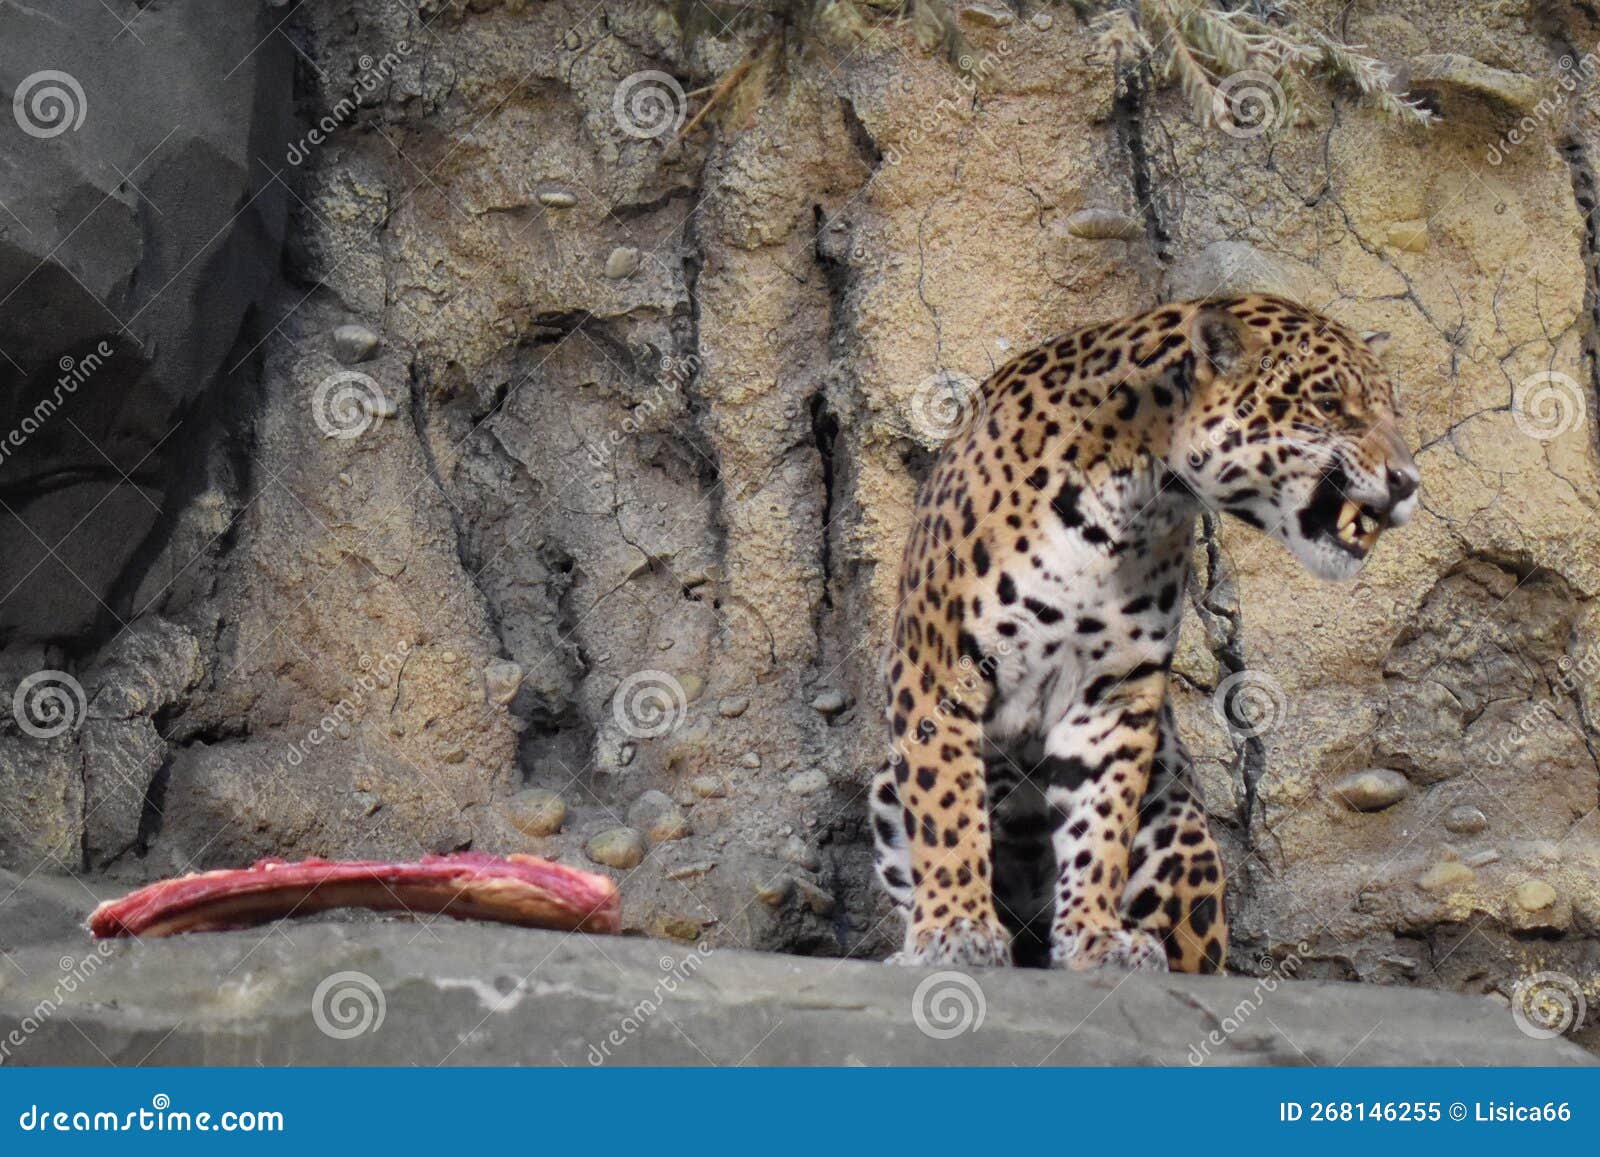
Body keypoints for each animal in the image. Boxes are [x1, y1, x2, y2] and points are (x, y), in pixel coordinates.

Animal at [871, 294, 1420, 973]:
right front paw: (956, 927)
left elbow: (1101, 821)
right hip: (883, 789)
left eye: (1393, 413)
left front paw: (1095, 934)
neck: (1132, 502)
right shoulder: (940, 661)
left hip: (1177, 823)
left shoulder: (1114, 690)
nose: (1407, 481)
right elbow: (947, 807)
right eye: (1329, 405)